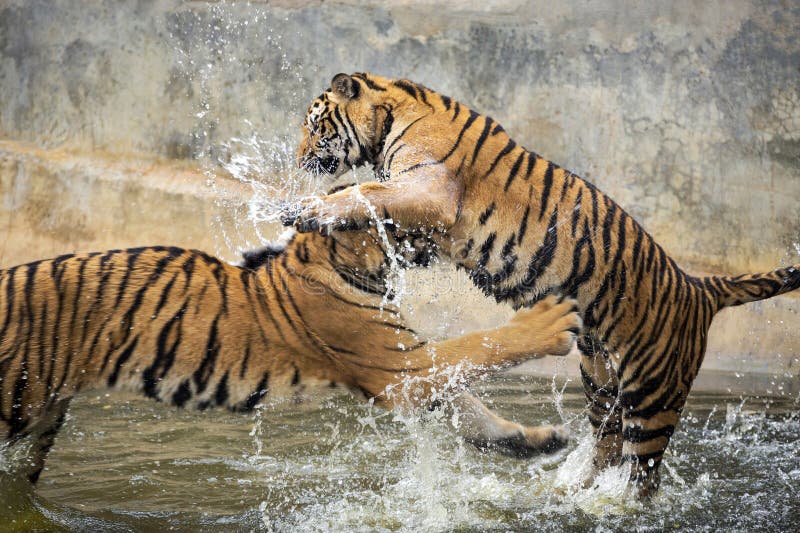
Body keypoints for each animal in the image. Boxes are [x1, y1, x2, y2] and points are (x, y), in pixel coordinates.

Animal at [0, 225, 582, 485]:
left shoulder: (412, 369)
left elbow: (476, 414)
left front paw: (542, 441)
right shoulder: (402, 369)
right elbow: (482, 344)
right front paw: (552, 322)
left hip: (40, 425)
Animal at [283, 72, 800, 497]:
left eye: (314, 125)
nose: (299, 158)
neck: (393, 115)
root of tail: (698, 287)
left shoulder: (430, 190)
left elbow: (364, 192)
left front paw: (301, 210)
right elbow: (373, 206)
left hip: (654, 397)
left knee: (644, 476)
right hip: (601, 380)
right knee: (606, 449)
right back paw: (575, 493)